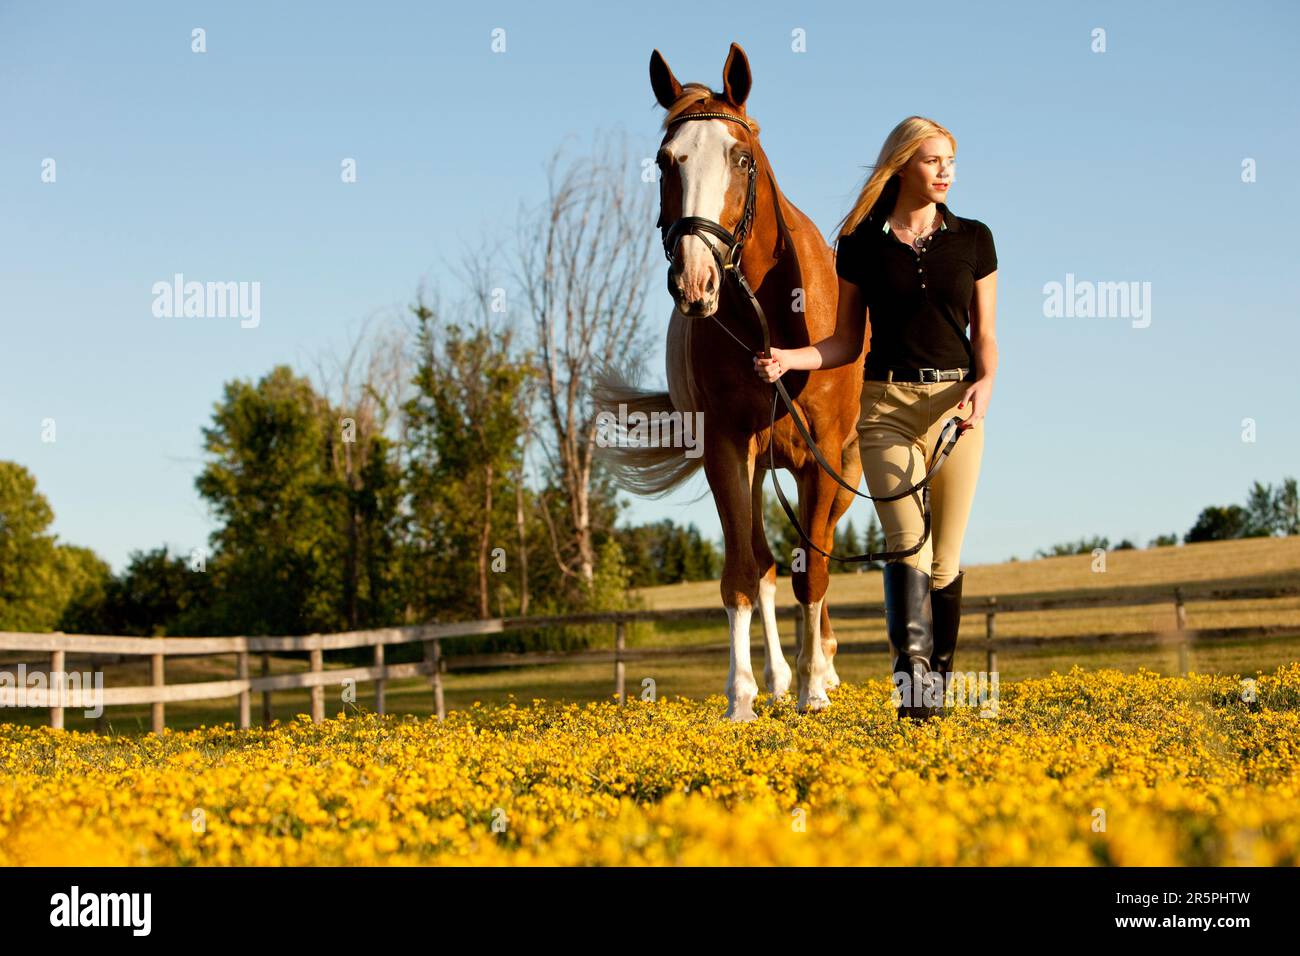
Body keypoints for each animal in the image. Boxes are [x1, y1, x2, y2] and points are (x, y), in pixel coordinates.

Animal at [594, 42, 865, 720]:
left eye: (741, 158)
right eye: (666, 161)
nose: (694, 281)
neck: (767, 316)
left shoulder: (821, 458)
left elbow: (813, 570)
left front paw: (814, 690)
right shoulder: (725, 447)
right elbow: (743, 573)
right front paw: (742, 696)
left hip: (843, 471)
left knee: (814, 559)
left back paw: (820, 667)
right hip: (756, 465)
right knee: (765, 565)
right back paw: (774, 677)